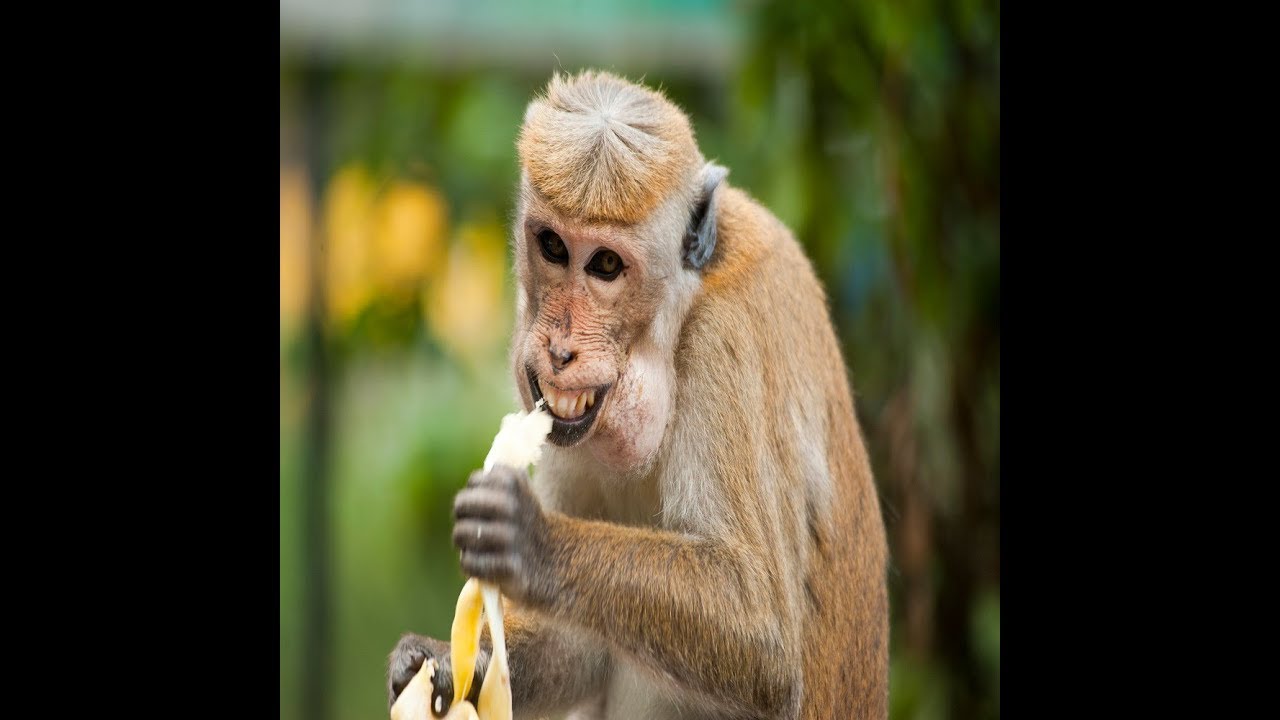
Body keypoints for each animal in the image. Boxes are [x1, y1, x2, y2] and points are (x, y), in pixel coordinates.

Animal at [389, 70, 888, 720]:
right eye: (553, 247)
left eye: (605, 264)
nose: (560, 349)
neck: (683, 308)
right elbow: (579, 647)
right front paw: (439, 665)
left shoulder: (724, 345)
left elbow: (764, 637)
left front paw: (533, 542)